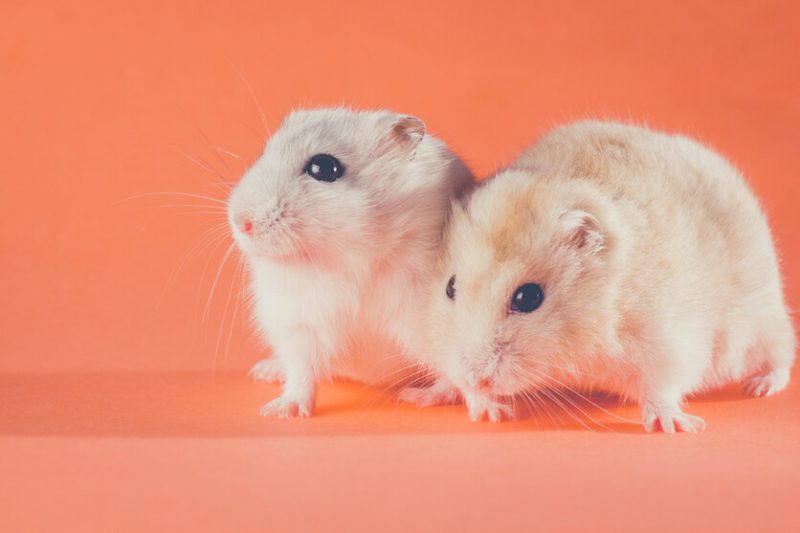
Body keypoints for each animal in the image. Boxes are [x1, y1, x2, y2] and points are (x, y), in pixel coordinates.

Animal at [227, 107, 474, 417]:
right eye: (262, 153)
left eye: (323, 168)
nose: (241, 222)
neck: (344, 258)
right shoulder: (298, 324)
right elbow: (302, 372)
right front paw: (282, 410)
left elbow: (453, 370)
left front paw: (420, 398)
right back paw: (264, 371)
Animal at [403, 120, 795, 432]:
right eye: (450, 287)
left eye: (528, 298)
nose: (475, 374)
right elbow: (456, 375)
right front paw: (490, 410)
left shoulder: (666, 345)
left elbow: (661, 389)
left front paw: (676, 425)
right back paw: (422, 395)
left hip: (760, 317)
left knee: (782, 349)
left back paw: (761, 387)